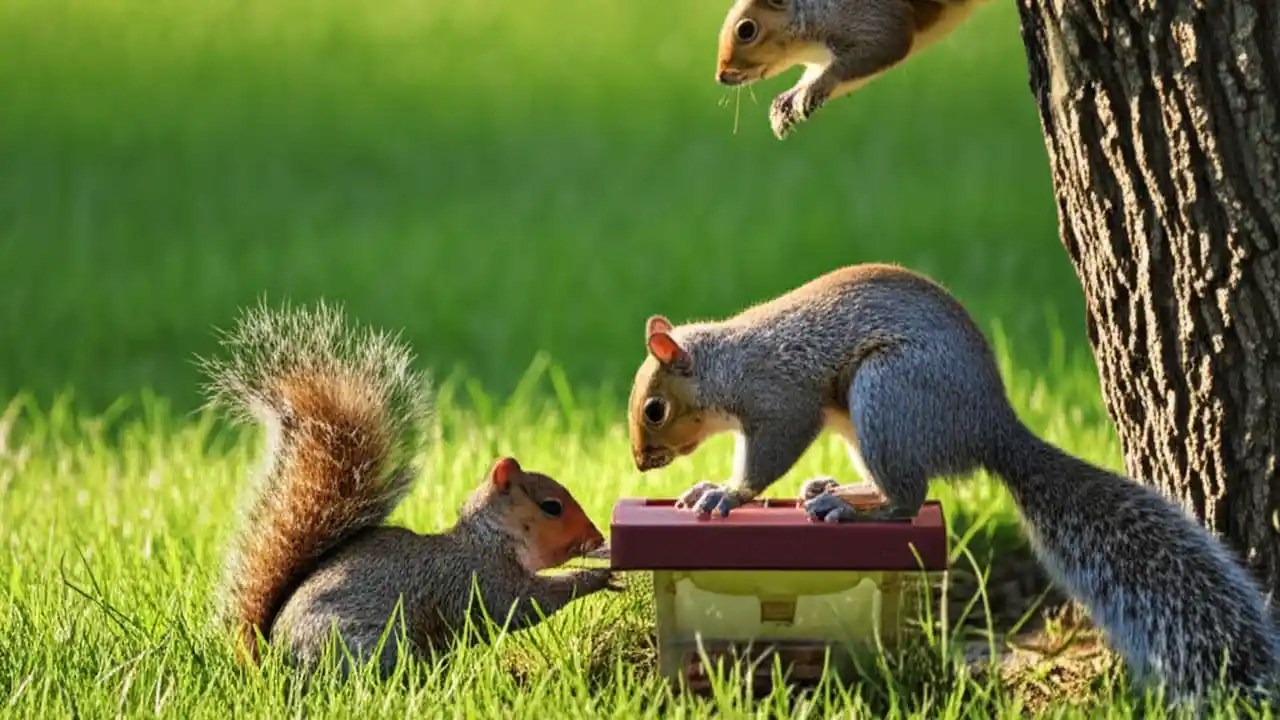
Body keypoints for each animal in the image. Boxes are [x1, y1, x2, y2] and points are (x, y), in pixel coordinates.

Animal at [202, 302, 617, 677]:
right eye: (551, 507)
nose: (597, 538)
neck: (487, 539)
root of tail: (273, 665)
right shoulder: (476, 578)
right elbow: (521, 604)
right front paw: (592, 578)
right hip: (368, 645)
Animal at [627, 263, 1280, 701]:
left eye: (654, 410)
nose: (639, 462)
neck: (724, 365)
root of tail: (990, 427)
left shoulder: (780, 401)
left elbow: (768, 456)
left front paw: (726, 493)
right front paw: (704, 489)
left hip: (888, 396)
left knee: (908, 498)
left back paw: (853, 510)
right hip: (871, 424)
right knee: (899, 488)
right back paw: (839, 492)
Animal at [714, 0, 985, 139]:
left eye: (746, 30)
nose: (721, 76)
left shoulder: (875, 18)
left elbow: (881, 47)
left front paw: (813, 89)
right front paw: (785, 103)